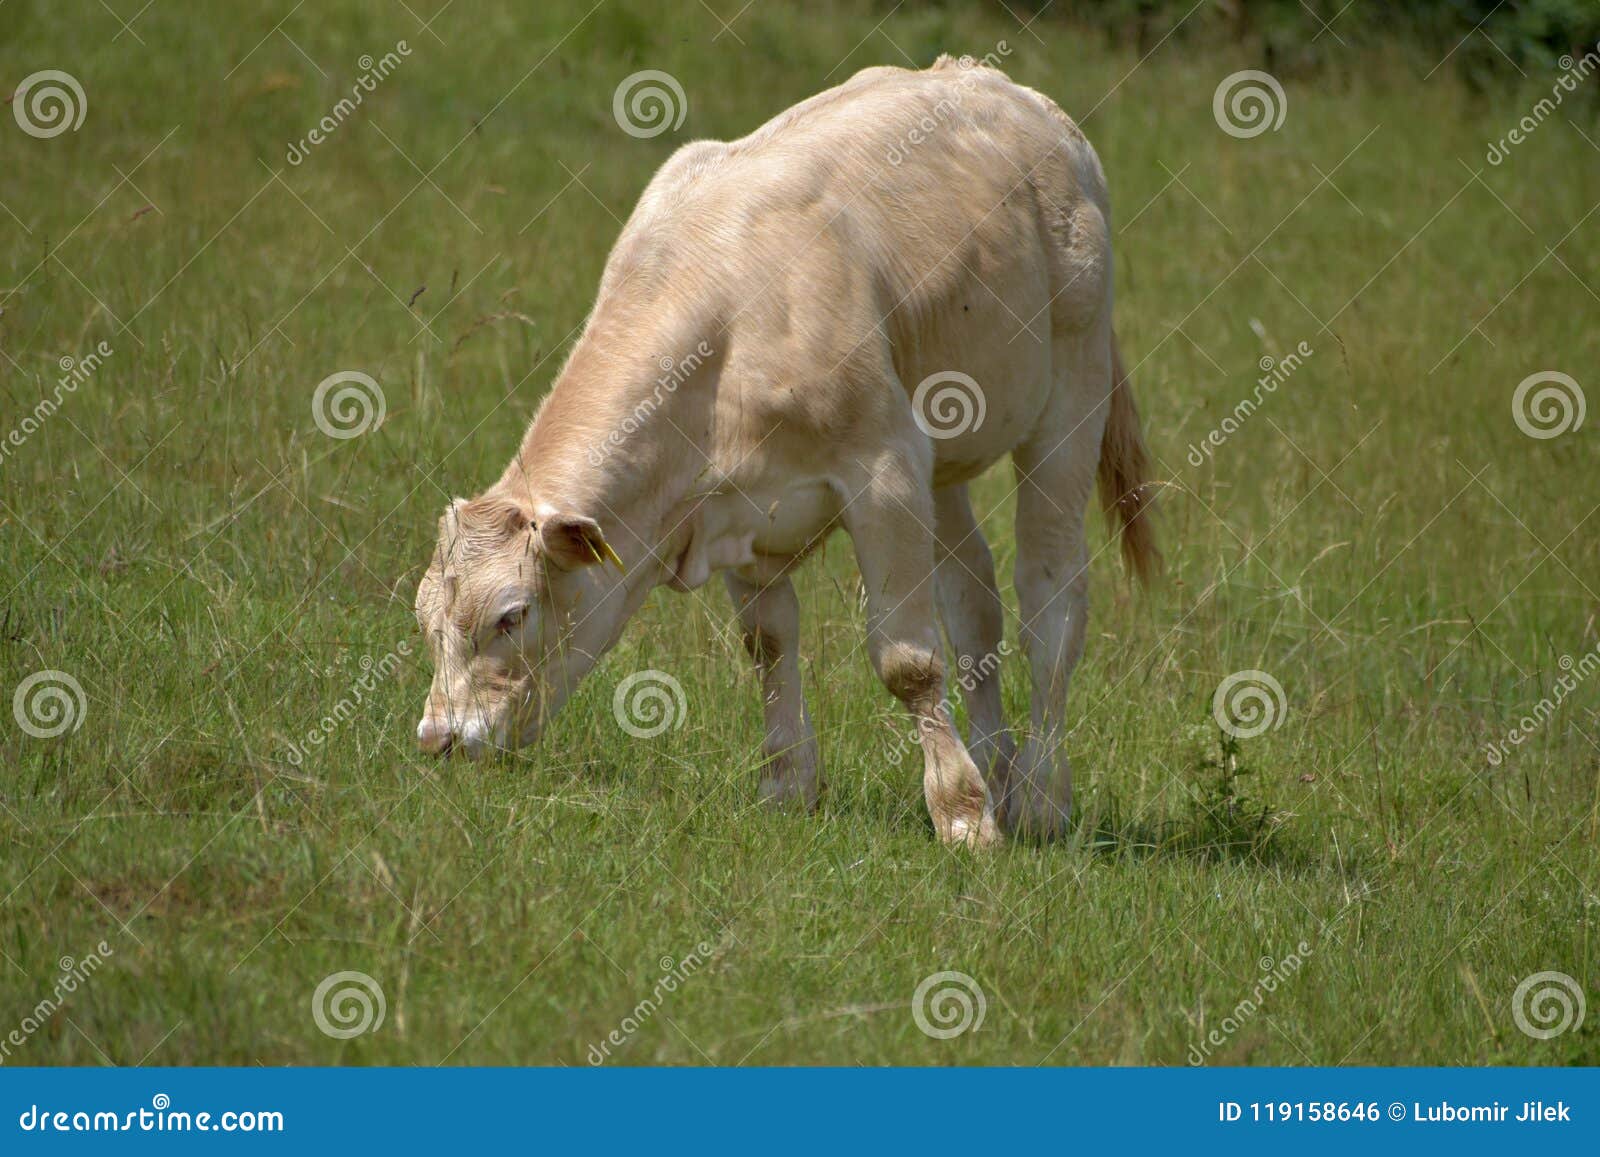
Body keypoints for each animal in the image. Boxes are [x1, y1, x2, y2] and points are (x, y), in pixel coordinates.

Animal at [412, 57, 1159, 846]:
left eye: (512, 615)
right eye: (426, 620)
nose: (439, 738)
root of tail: (1013, 93)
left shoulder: (885, 470)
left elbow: (908, 660)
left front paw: (961, 815)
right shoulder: (731, 508)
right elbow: (768, 641)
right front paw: (789, 788)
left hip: (1071, 393)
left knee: (1052, 599)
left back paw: (1042, 797)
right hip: (943, 454)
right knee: (974, 603)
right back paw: (1003, 776)